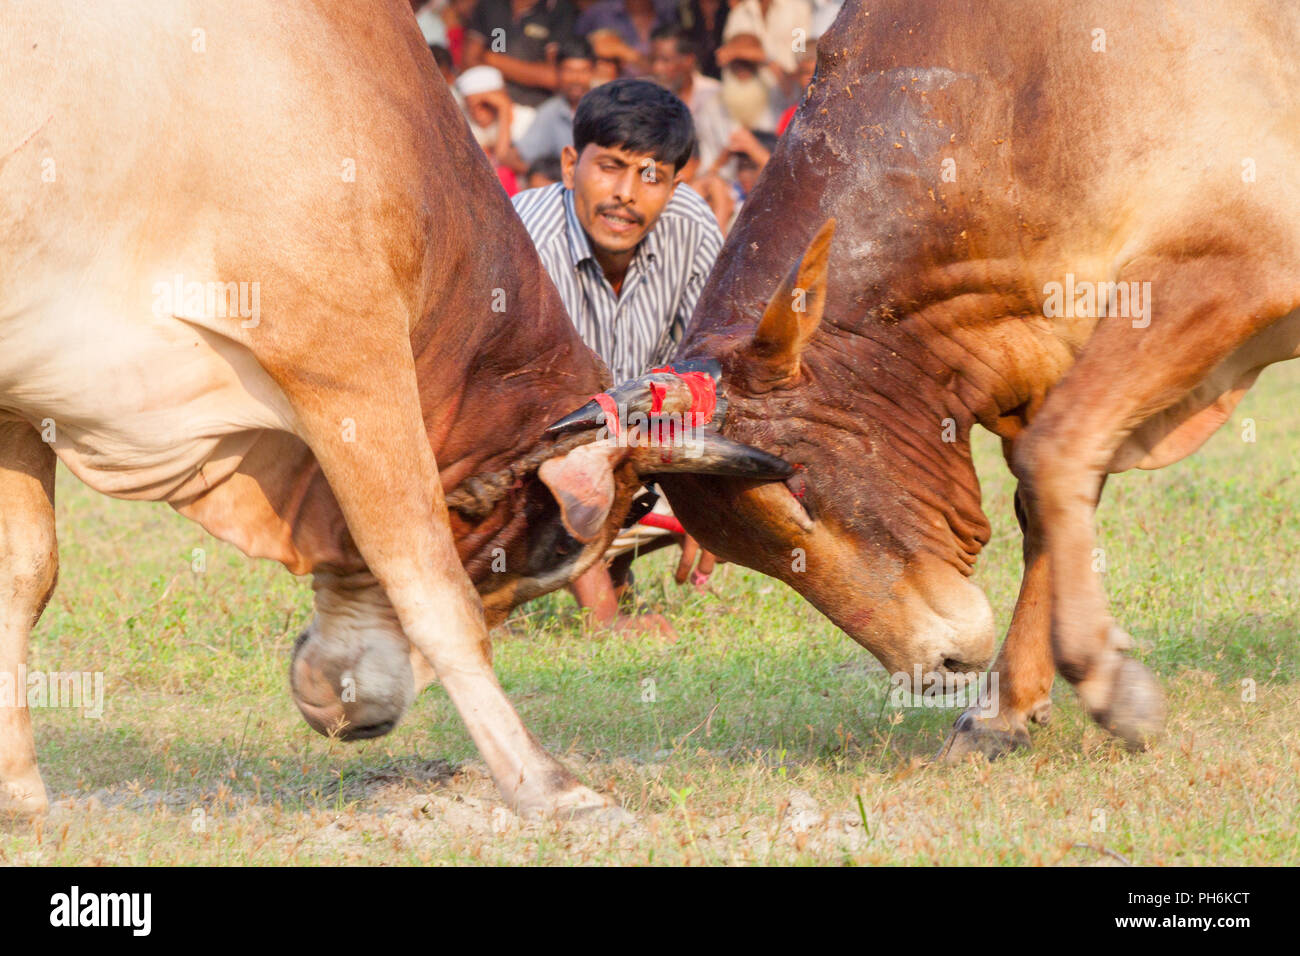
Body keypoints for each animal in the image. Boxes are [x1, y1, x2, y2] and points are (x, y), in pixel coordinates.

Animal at [0, 0, 788, 819]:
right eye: (532, 559)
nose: (356, 717)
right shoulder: (350, 355)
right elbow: (433, 587)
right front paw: (548, 784)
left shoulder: (24, 401)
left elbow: (27, 574)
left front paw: (19, 788)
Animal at [558, 0, 1300, 757]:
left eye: (797, 490)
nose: (934, 666)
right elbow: (1046, 499)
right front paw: (1005, 710)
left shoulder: (1240, 266)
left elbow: (1053, 454)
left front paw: (1103, 676)